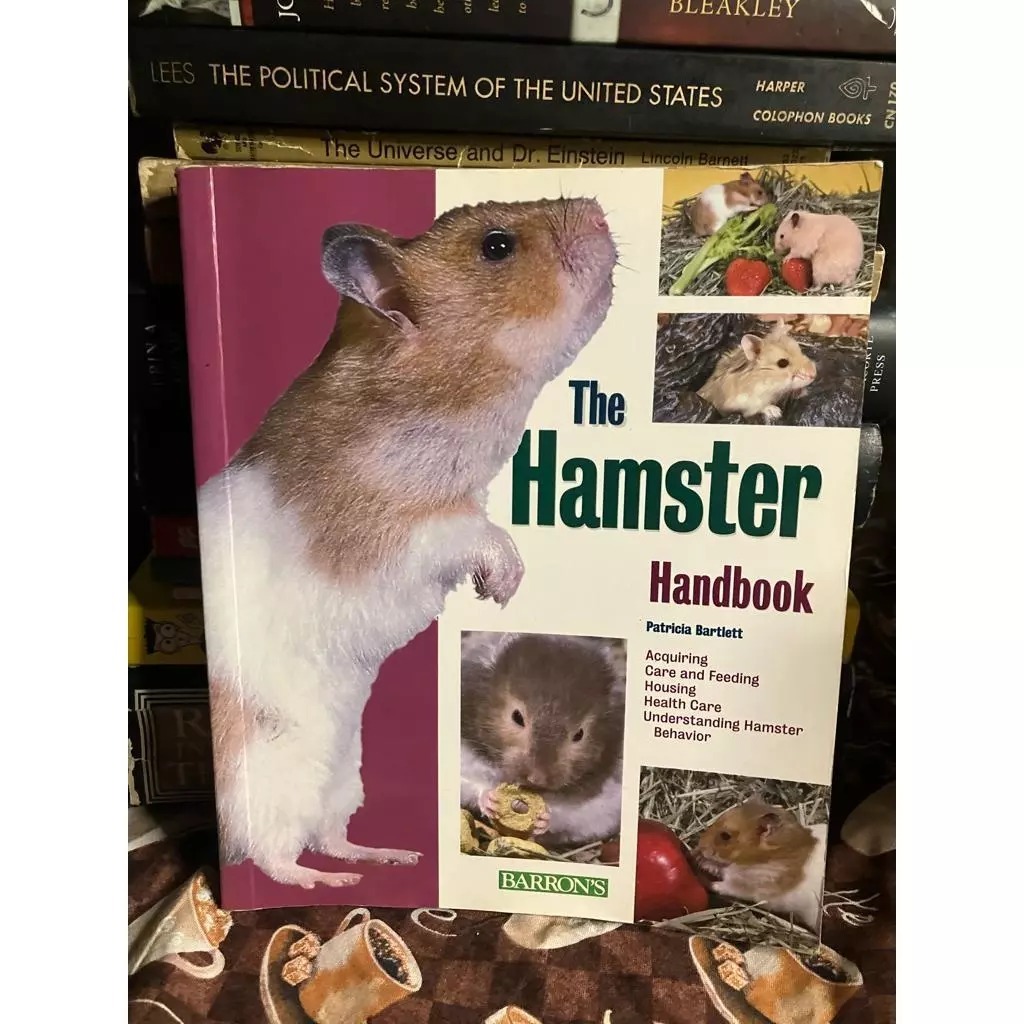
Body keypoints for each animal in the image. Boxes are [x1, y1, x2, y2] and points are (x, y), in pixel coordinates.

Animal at [460, 632, 625, 848]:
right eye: (517, 717)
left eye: (579, 734)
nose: (535, 779)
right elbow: (474, 781)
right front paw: (492, 799)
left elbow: (566, 812)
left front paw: (542, 819)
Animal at [693, 799, 827, 929]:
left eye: (725, 836)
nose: (700, 844)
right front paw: (698, 857)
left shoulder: (748, 884)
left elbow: (721, 884)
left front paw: (703, 874)